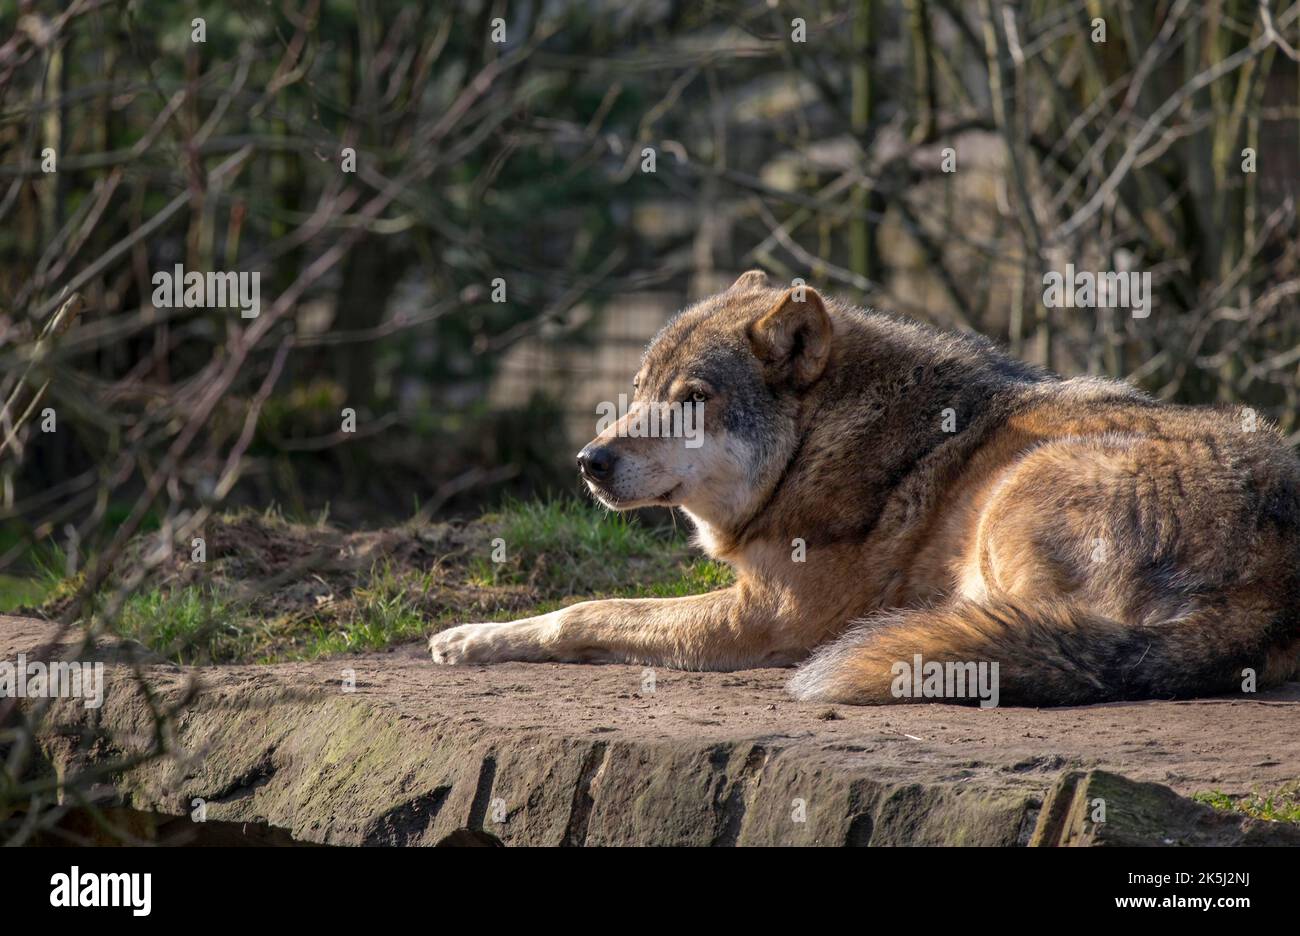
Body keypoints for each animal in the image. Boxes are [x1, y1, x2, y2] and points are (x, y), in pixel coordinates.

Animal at [430, 271, 1300, 706]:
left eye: (692, 398)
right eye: (639, 388)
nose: (589, 460)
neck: (818, 443)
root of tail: (1273, 584)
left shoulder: (761, 615)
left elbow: (588, 609)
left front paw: (471, 638)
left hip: (1018, 491)